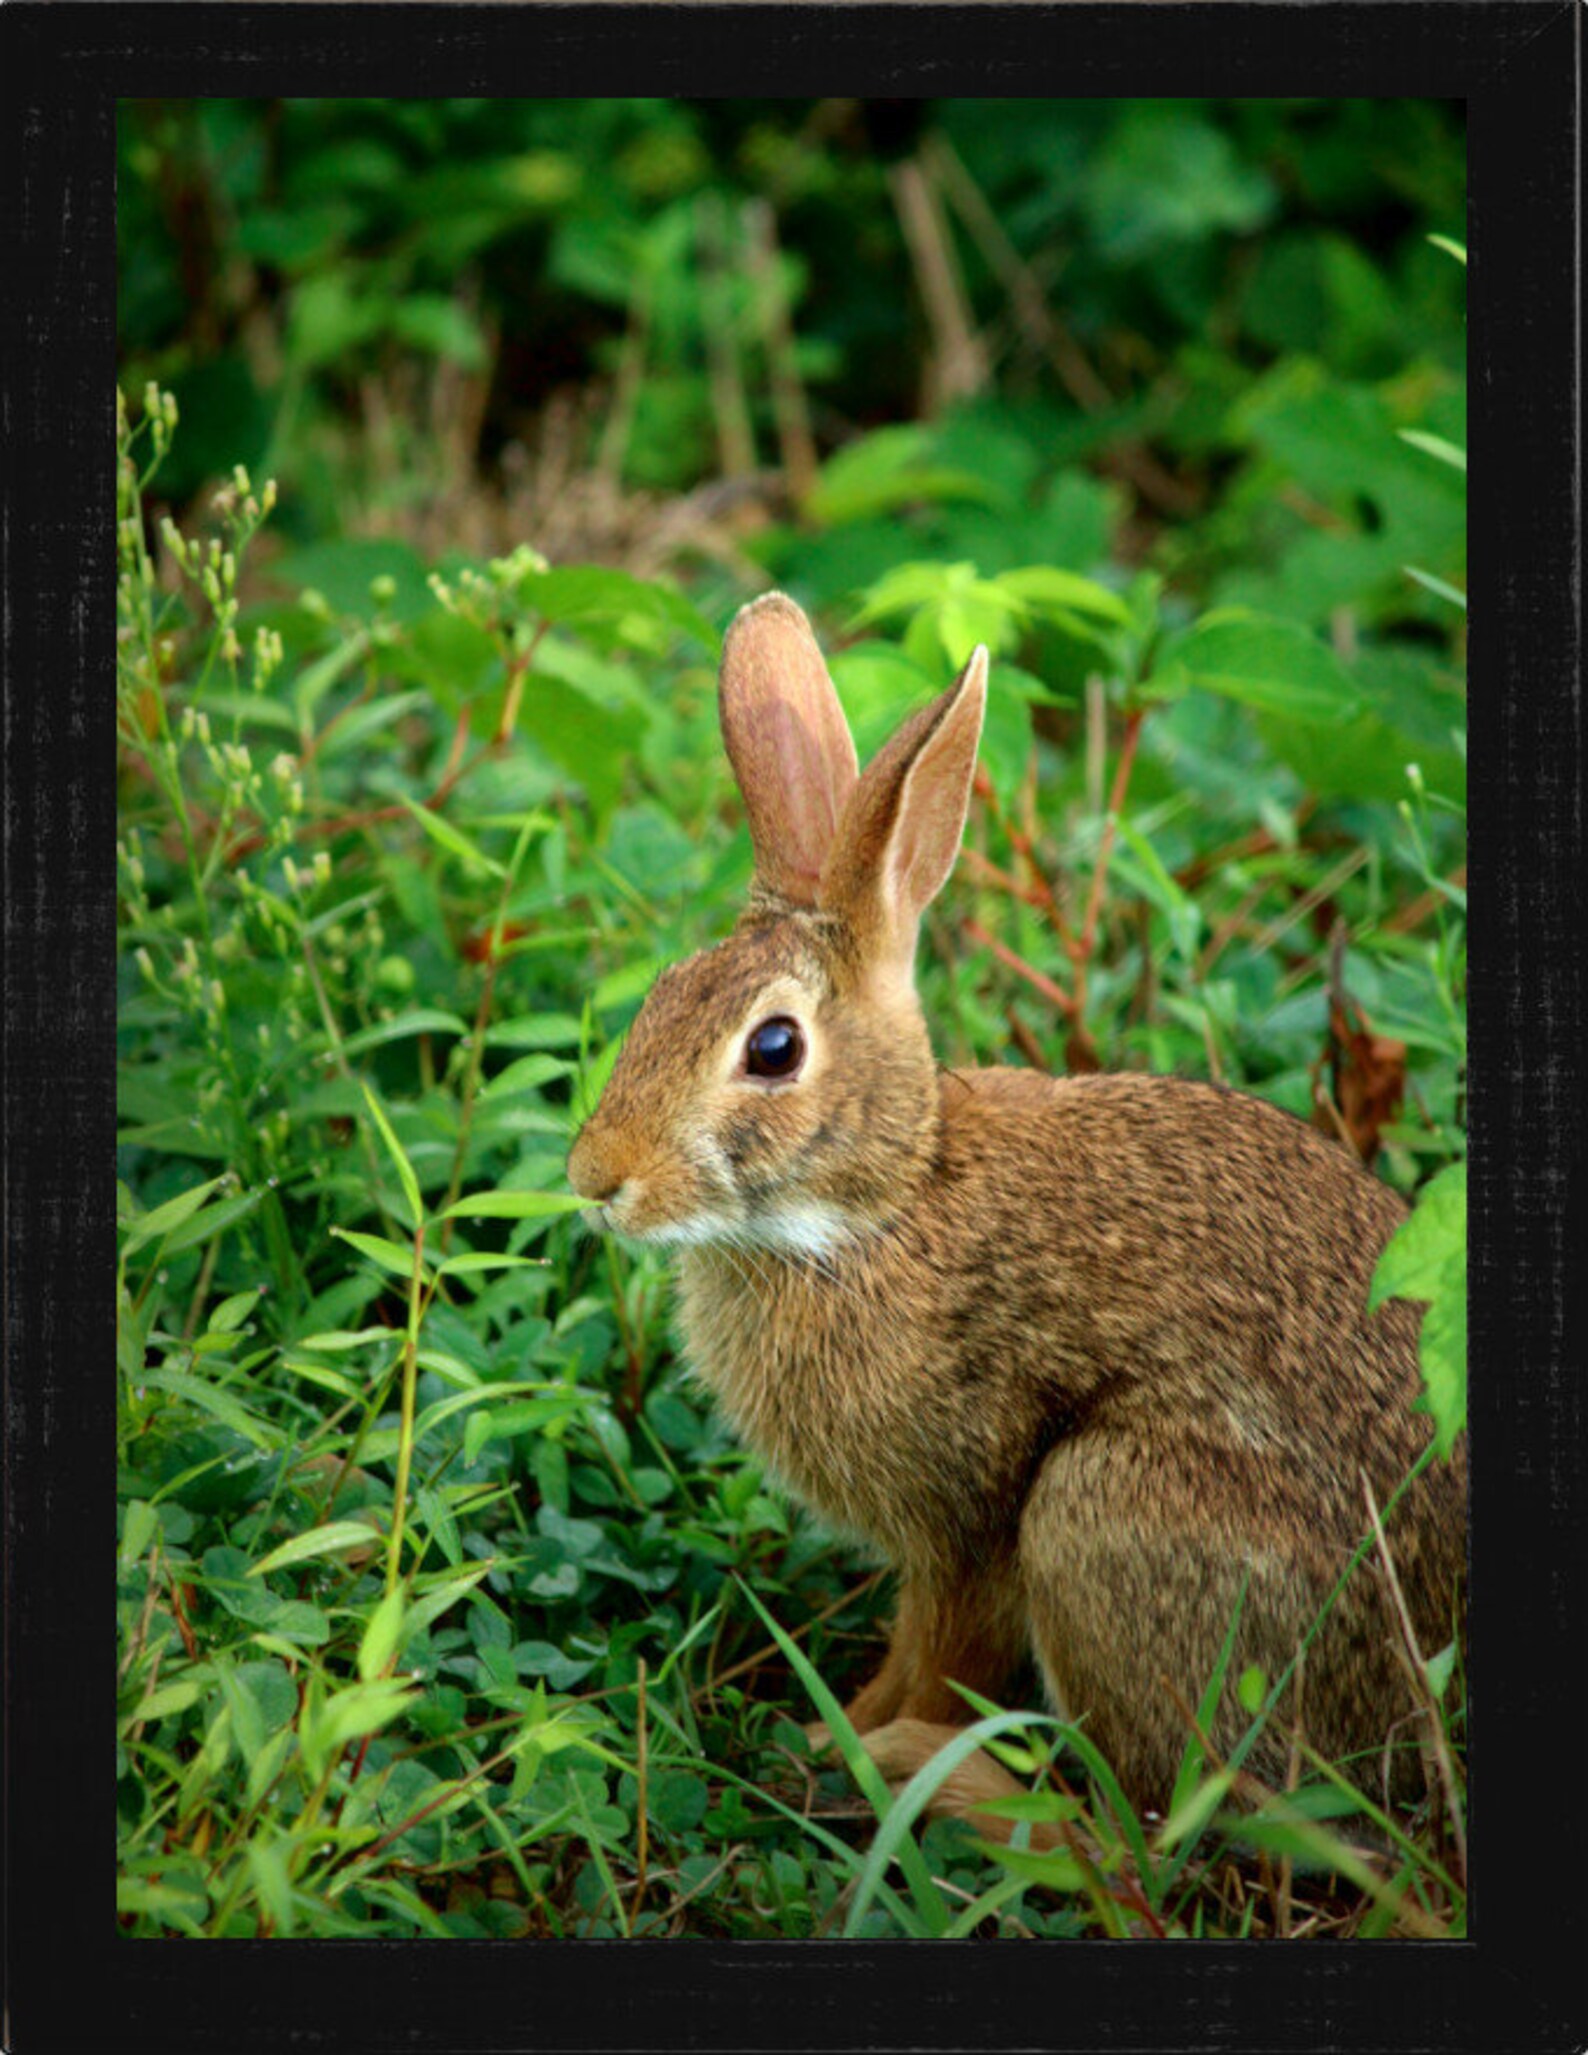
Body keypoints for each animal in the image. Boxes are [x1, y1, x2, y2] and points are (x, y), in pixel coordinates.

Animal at [567, 591, 1468, 1832]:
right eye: (658, 996)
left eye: (773, 1047)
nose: (594, 1177)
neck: (885, 1204)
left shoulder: (970, 1525)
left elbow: (939, 1659)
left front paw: (842, 1738)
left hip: (1097, 1516)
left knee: (1157, 1819)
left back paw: (938, 1781)